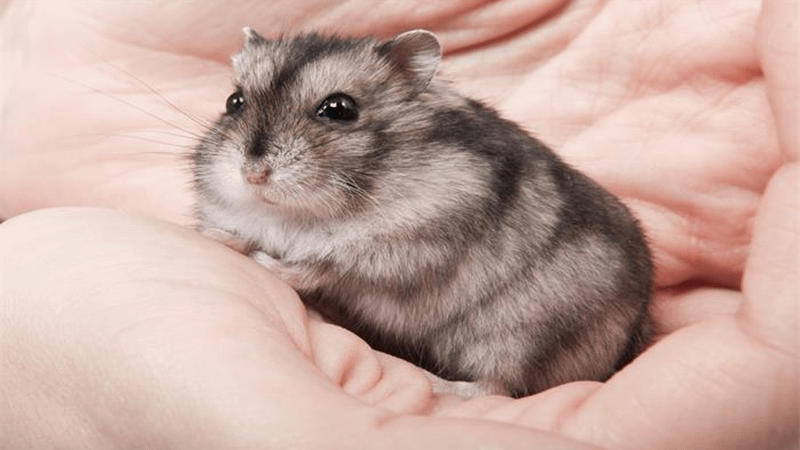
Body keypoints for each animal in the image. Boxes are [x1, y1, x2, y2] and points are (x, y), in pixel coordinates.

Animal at [192, 28, 653, 397]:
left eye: (339, 109)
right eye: (233, 101)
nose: (253, 174)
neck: (302, 214)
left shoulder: (407, 248)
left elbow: (317, 267)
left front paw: (261, 258)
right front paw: (218, 237)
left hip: (520, 336)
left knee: (495, 386)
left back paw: (438, 383)